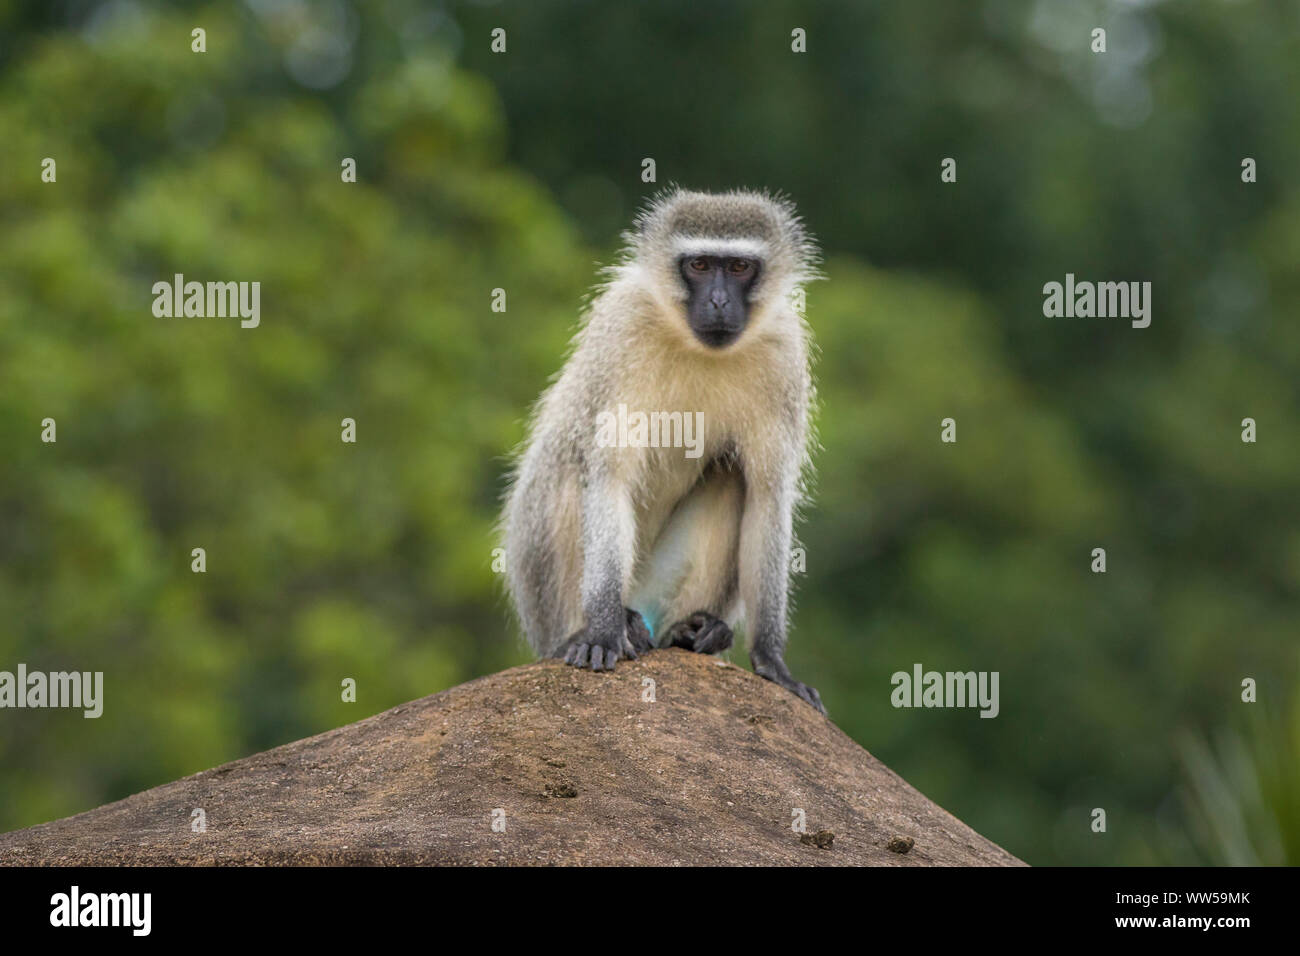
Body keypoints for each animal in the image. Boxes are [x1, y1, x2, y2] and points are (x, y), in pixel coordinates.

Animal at [501, 187, 824, 713]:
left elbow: (768, 496)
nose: (718, 300)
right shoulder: (623, 329)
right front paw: (604, 630)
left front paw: (771, 658)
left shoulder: (783, 352)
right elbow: (609, 476)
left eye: (739, 267)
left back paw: (690, 631)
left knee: (732, 474)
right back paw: (600, 628)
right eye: (698, 264)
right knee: (571, 467)